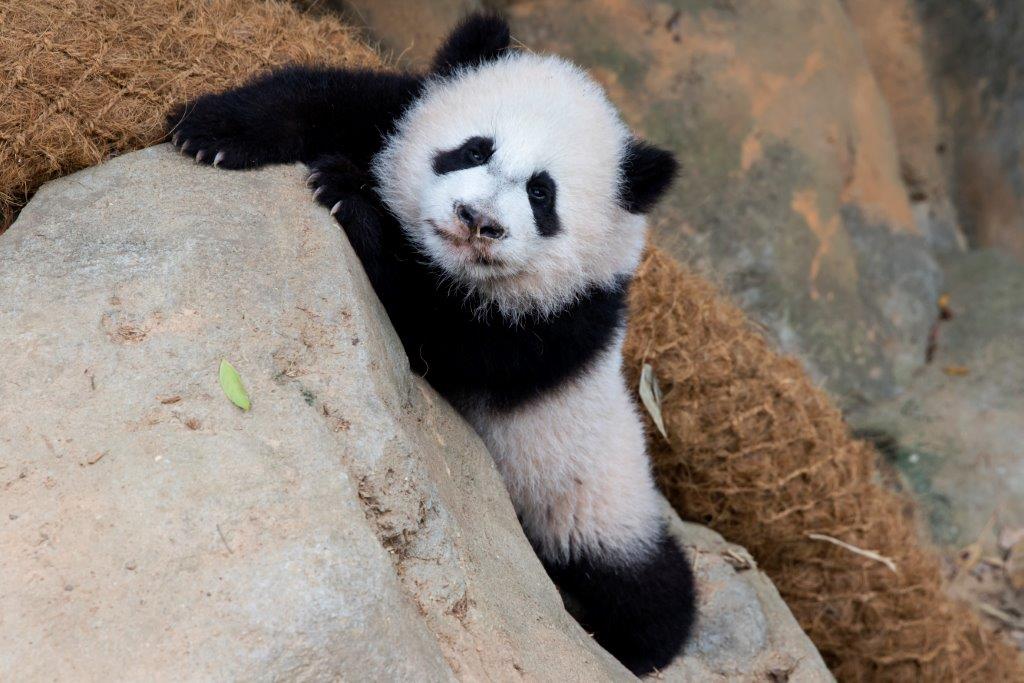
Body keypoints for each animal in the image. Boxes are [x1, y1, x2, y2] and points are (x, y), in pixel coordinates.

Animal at [166, 13, 696, 676]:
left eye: (541, 194)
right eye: (474, 150)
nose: (476, 219)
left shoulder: (555, 324)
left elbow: (434, 331)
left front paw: (349, 195)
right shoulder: (396, 105)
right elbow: (327, 96)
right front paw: (209, 130)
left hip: (594, 501)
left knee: (651, 599)